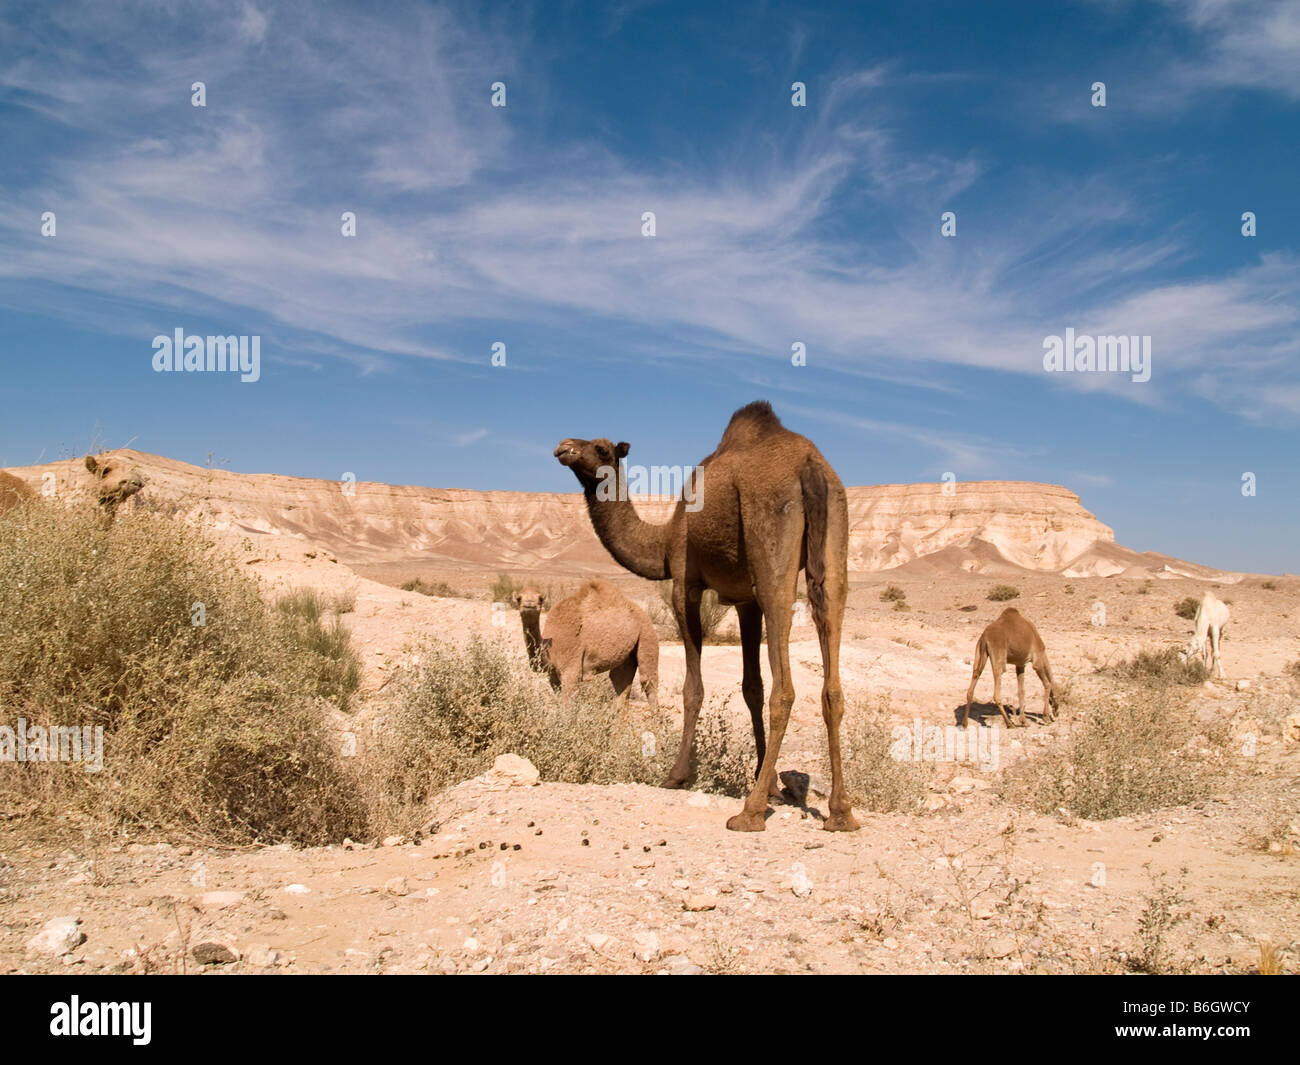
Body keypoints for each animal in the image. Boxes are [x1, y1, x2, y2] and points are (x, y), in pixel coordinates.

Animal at [514, 580, 658, 709]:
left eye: (540, 598)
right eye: (519, 598)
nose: (529, 604)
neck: (551, 646)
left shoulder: (571, 668)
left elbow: (567, 706)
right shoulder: (552, 674)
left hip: (646, 632)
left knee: (648, 681)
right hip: (627, 654)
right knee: (620, 682)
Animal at [555, 400, 857, 833]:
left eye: (600, 448)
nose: (564, 446)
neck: (662, 540)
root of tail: (811, 467)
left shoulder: (685, 581)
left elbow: (692, 688)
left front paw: (677, 775)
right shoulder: (745, 600)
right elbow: (751, 688)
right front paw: (770, 783)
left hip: (771, 537)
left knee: (784, 685)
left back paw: (749, 813)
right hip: (836, 530)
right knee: (830, 663)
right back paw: (841, 813)